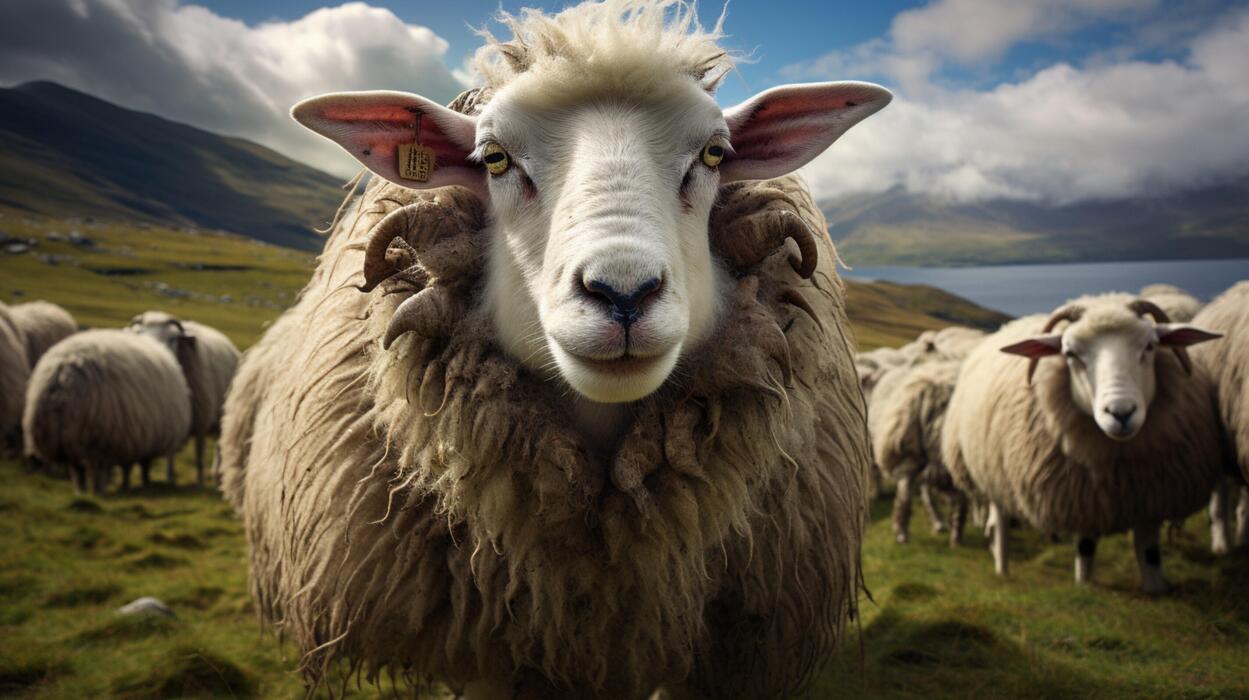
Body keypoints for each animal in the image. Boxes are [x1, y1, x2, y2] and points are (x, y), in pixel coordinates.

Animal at [22, 329, 191, 494]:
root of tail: (63, 377)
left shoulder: (134, 441)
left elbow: (132, 466)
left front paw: (130, 484)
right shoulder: (137, 440)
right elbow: (139, 466)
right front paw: (137, 484)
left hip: (70, 440)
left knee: (77, 469)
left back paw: (81, 491)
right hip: (98, 438)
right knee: (96, 470)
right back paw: (98, 491)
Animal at [127, 312, 241, 485]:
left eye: (172, 338)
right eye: (140, 334)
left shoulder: (201, 420)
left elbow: (199, 454)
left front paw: (199, 481)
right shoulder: (173, 420)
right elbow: (170, 455)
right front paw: (170, 478)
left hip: (222, 415)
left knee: (219, 444)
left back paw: (218, 473)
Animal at [942, 294, 1224, 593]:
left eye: (1150, 346)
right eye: (1070, 354)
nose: (1121, 412)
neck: (1118, 467)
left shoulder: (1148, 499)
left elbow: (1149, 552)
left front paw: (1155, 589)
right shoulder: (1080, 495)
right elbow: (1086, 546)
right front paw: (1085, 584)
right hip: (993, 475)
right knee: (1000, 525)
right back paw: (1002, 567)